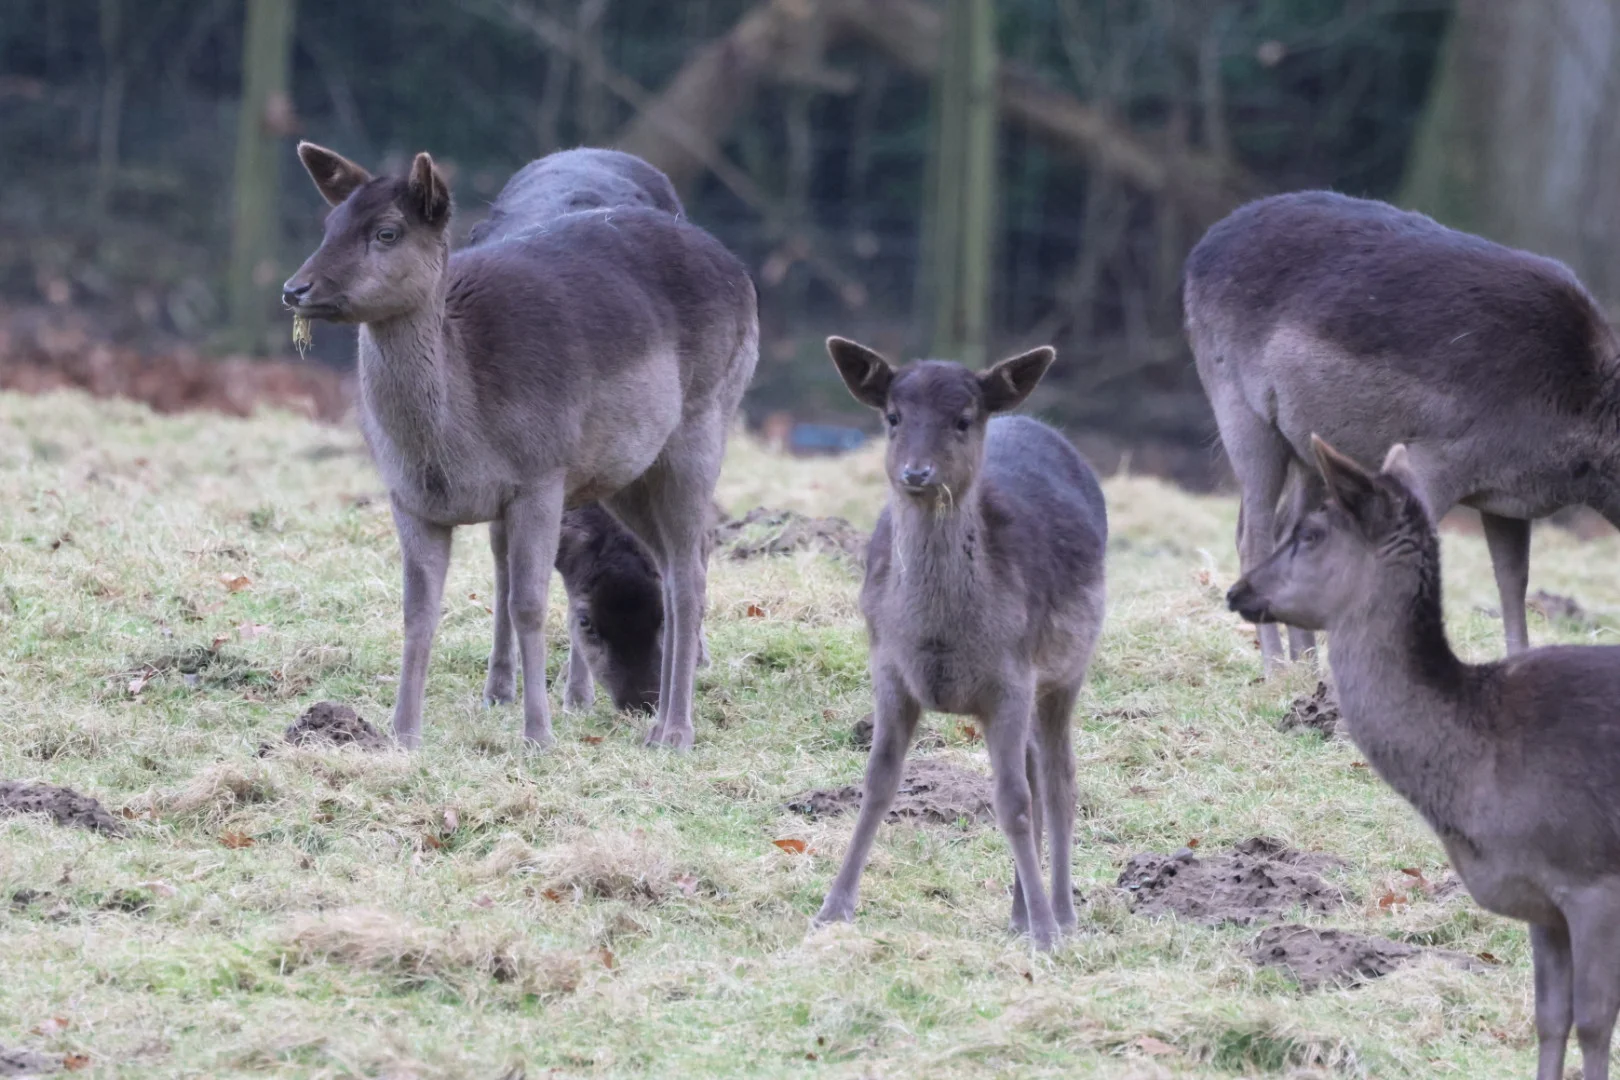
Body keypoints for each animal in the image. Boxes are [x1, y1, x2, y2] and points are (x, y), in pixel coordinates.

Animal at [282, 142, 758, 750]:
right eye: (331, 224)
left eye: (387, 231)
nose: (296, 289)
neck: (454, 442)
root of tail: (736, 266)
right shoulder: (407, 496)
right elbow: (418, 611)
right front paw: (402, 735)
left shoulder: (540, 475)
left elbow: (527, 603)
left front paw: (538, 734)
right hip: (627, 469)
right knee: (674, 563)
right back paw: (659, 721)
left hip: (706, 418)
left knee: (691, 570)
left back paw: (675, 731)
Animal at [811, 338, 1108, 950]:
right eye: (893, 417)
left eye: (963, 419)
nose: (916, 472)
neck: (941, 638)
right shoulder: (888, 667)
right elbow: (878, 782)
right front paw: (832, 908)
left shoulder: (1013, 675)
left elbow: (1014, 802)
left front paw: (1047, 934)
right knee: (1038, 773)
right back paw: (1021, 911)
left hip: (1067, 670)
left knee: (1058, 780)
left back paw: (1061, 913)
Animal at [1185, 189, 1620, 674]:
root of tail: (1199, 251)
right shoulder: (1440, 456)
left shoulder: (1507, 498)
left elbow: (1512, 580)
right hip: (1241, 410)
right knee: (1251, 531)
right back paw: (1277, 668)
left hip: (1307, 447)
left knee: (1287, 524)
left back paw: (1308, 666)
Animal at [1227, 436, 1620, 1080]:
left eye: (1311, 532)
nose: (1236, 591)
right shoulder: (1542, 899)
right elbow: (1549, 1018)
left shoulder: (1591, 878)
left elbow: (1593, 1023)